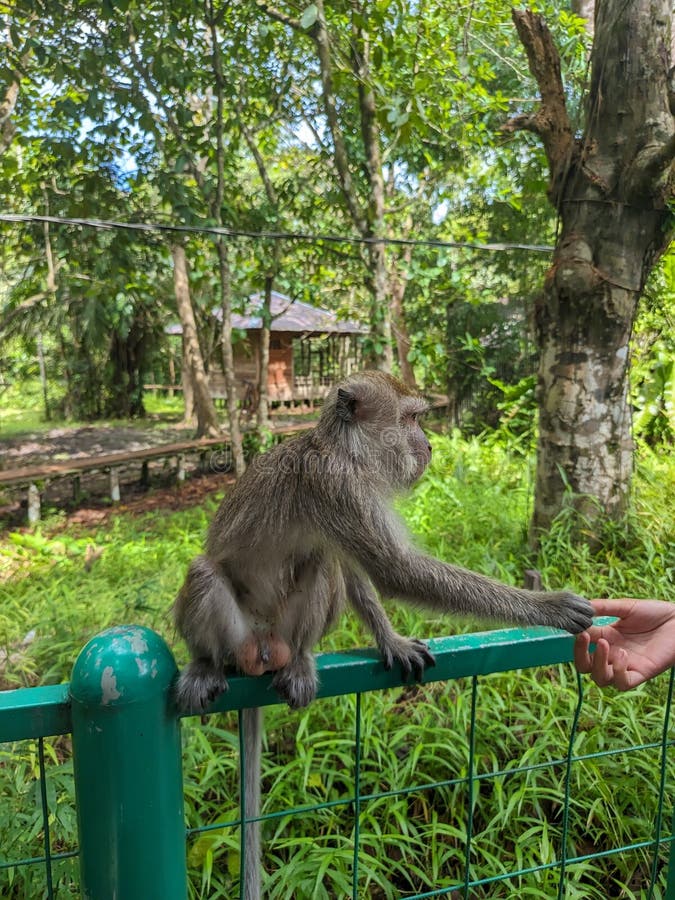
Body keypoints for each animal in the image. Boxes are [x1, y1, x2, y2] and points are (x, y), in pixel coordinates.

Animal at [173, 370, 593, 900]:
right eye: (412, 418)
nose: (430, 445)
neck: (342, 450)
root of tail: (263, 649)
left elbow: (356, 569)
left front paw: (389, 639)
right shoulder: (337, 486)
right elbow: (396, 571)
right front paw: (547, 606)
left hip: (279, 633)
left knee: (322, 561)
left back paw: (300, 659)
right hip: (239, 635)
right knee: (206, 572)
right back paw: (207, 663)